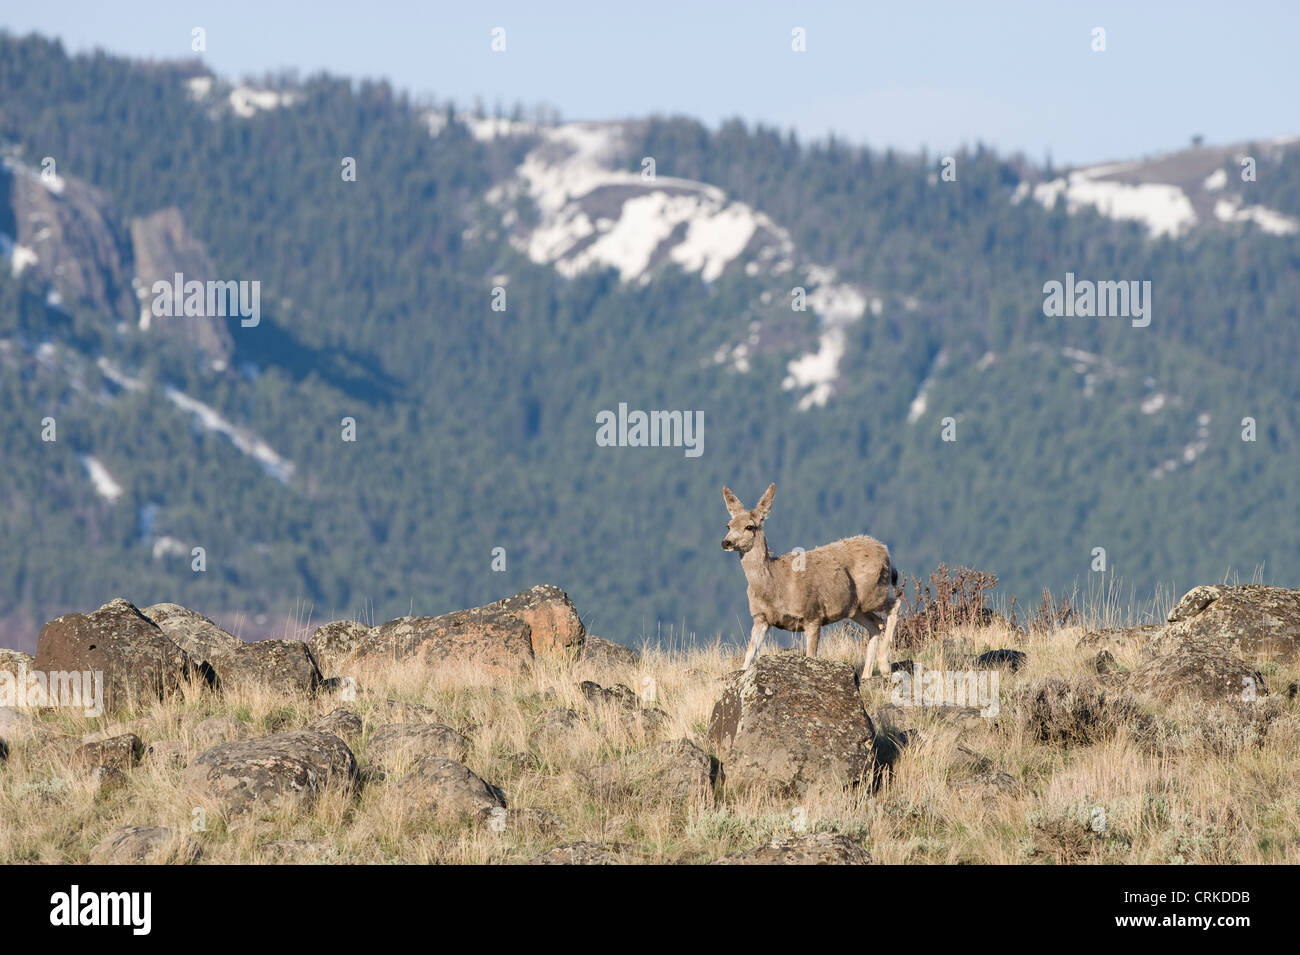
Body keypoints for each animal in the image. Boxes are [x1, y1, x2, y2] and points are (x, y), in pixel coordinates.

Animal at [720, 483, 900, 677]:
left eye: (749, 526)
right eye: (728, 525)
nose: (726, 542)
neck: (775, 586)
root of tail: (886, 550)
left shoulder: (812, 613)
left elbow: (811, 657)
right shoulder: (760, 617)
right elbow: (749, 654)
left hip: (873, 592)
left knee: (894, 605)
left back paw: (884, 665)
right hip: (855, 607)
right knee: (876, 624)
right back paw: (866, 675)